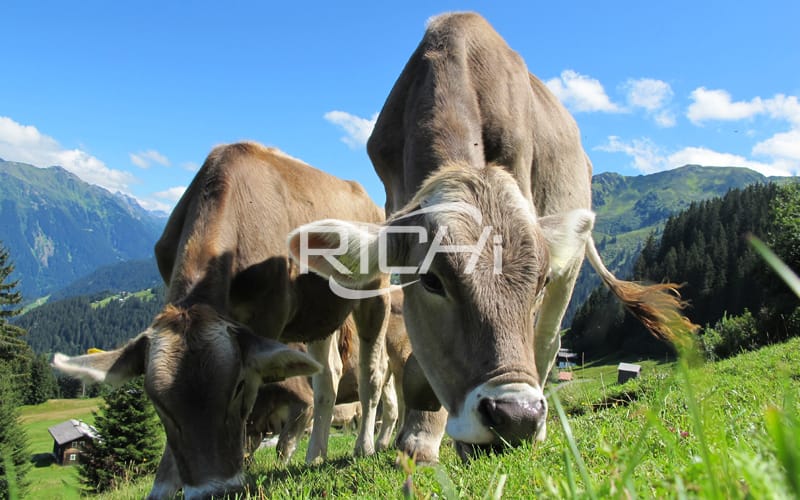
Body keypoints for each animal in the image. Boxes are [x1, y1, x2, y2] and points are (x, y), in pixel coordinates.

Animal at [52, 142, 390, 499]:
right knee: (328, 377)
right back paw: (316, 455)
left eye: (238, 386)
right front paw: (164, 485)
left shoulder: (267, 319)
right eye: (157, 402)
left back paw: (365, 446)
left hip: (375, 291)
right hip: (319, 315)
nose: (214, 491)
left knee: (372, 371)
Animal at [288, 12, 696, 463]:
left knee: (548, 341)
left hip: (570, 268)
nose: (517, 416)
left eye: (539, 281)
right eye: (432, 280)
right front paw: (419, 438)